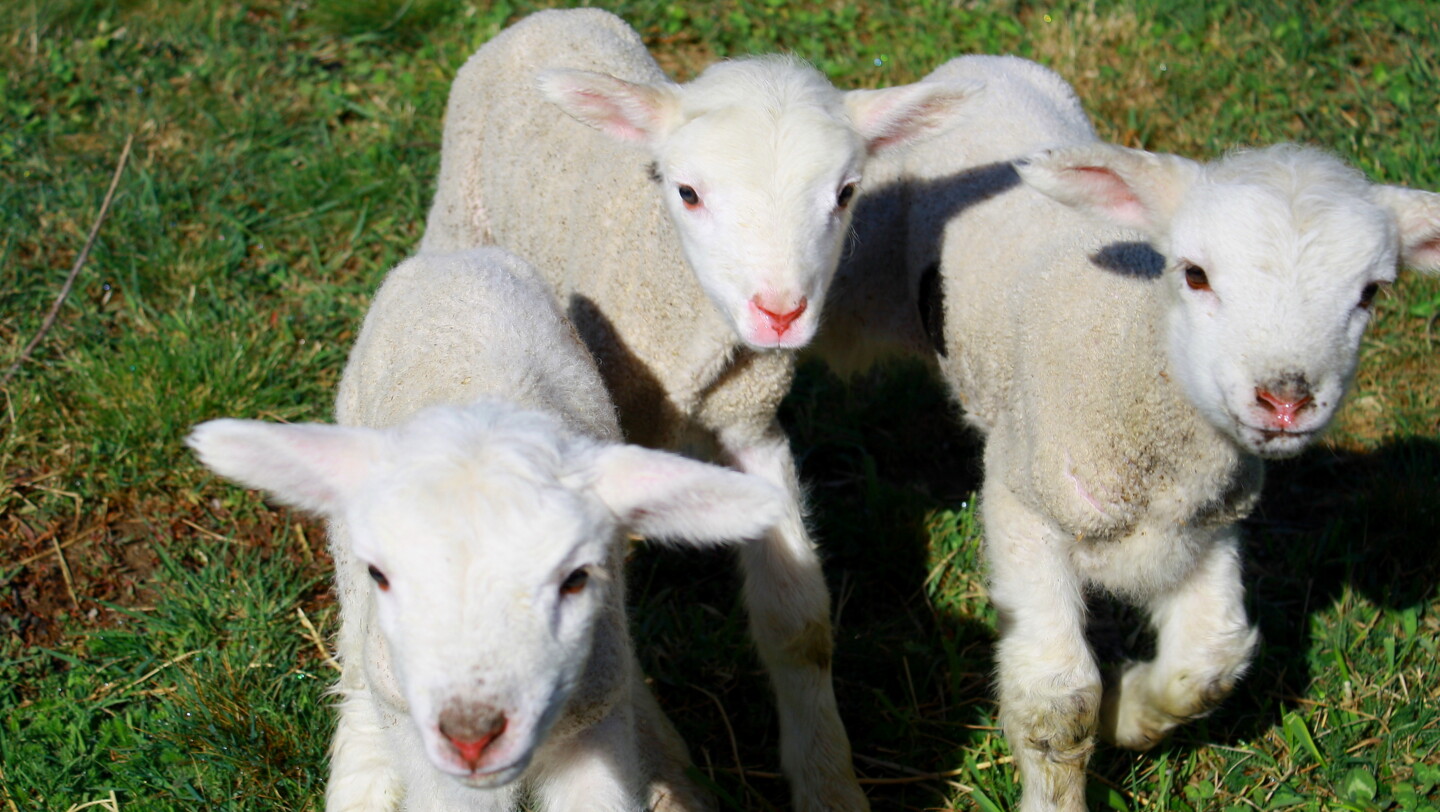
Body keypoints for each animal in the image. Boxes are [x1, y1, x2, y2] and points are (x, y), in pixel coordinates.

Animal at [188, 248, 786, 812]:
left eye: (576, 578)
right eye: (384, 574)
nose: (471, 735)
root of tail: (456, 257)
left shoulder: (597, 717)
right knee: (357, 671)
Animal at [418, 9, 981, 809]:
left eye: (845, 193)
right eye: (687, 192)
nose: (780, 313)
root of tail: (552, 15)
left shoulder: (752, 427)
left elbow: (799, 620)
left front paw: (827, 781)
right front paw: (666, 770)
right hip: (462, 214)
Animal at [822, 55, 1440, 812]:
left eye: (1371, 292)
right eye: (1195, 274)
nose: (1285, 399)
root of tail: (977, 64)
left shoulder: (1204, 528)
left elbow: (1211, 663)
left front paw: (1130, 711)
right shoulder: (1024, 505)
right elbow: (1057, 705)